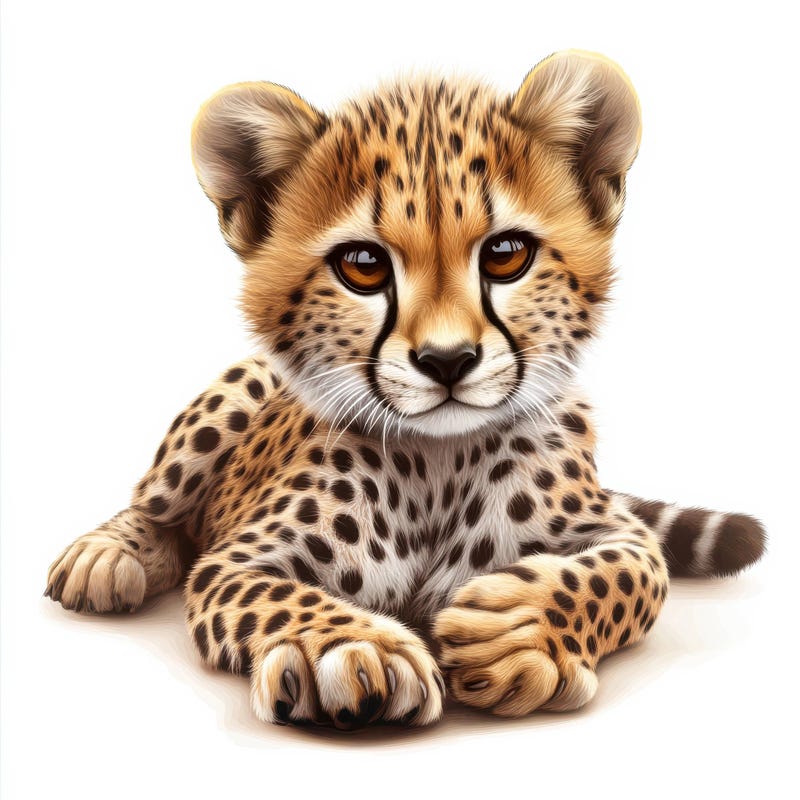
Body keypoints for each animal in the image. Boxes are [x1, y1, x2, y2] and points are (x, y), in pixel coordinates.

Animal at [45, 50, 766, 730]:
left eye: (506, 254)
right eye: (363, 266)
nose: (448, 361)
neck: (437, 464)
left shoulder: (617, 530)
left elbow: (631, 572)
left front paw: (519, 633)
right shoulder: (237, 560)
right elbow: (273, 597)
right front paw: (350, 651)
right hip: (237, 392)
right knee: (157, 505)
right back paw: (106, 556)